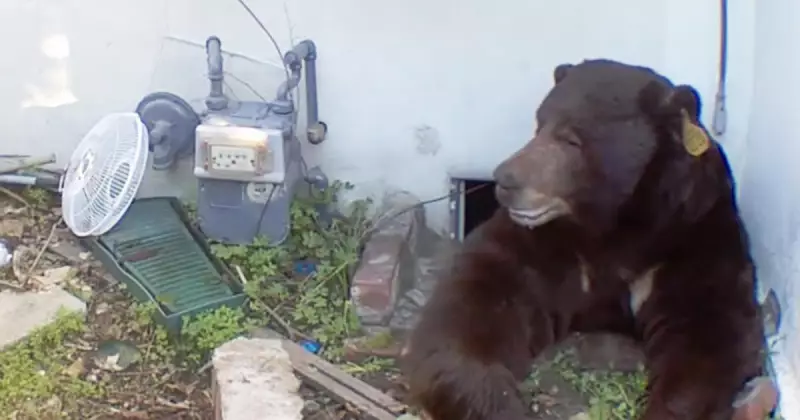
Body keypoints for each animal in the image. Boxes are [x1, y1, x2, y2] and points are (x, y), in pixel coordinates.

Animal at [401, 59, 768, 420]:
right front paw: (500, 402)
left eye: (571, 139)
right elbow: (475, 306)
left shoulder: (691, 235)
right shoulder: (547, 247)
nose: (505, 180)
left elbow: (709, 332)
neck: (616, 226)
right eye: (539, 125)